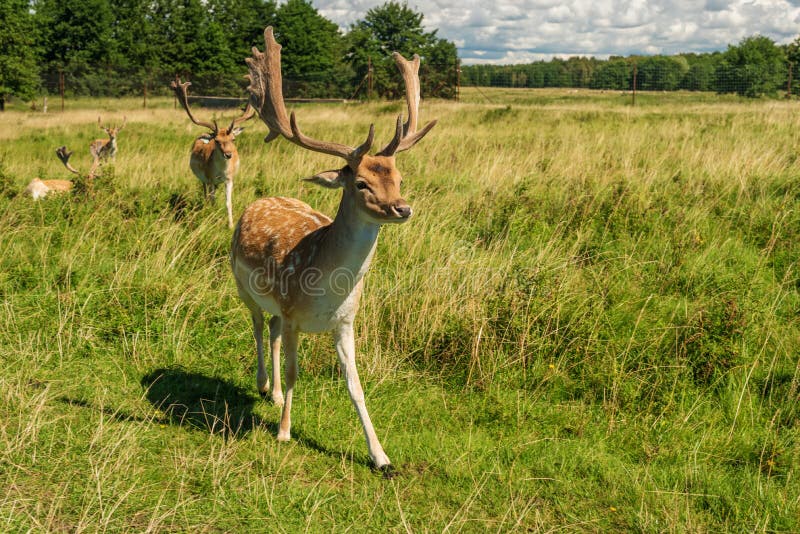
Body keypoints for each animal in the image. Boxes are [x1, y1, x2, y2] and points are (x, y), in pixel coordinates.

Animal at [170, 79, 255, 228]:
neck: (221, 172)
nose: (228, 155)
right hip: (203, 179)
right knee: (205, 193)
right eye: (216, 141)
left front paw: (230, 225)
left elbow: (228, 203)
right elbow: (212, 199)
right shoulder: (209, 179)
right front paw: (211, 217)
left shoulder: (230, 179)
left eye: (233, 139)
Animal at [230, 27, 436, 473]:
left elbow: (355, 385)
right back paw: (262, 384)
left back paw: (272, 393)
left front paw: (381, 456)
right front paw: (284, 432)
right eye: (360, 183)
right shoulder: (293, 313)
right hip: (240, 284)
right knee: (257, 325)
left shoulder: (346, 321)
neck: (328, 289)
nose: (403, 208)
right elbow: (295, 373)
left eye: (398, 177)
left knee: (271, 331)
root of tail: (259, 200)